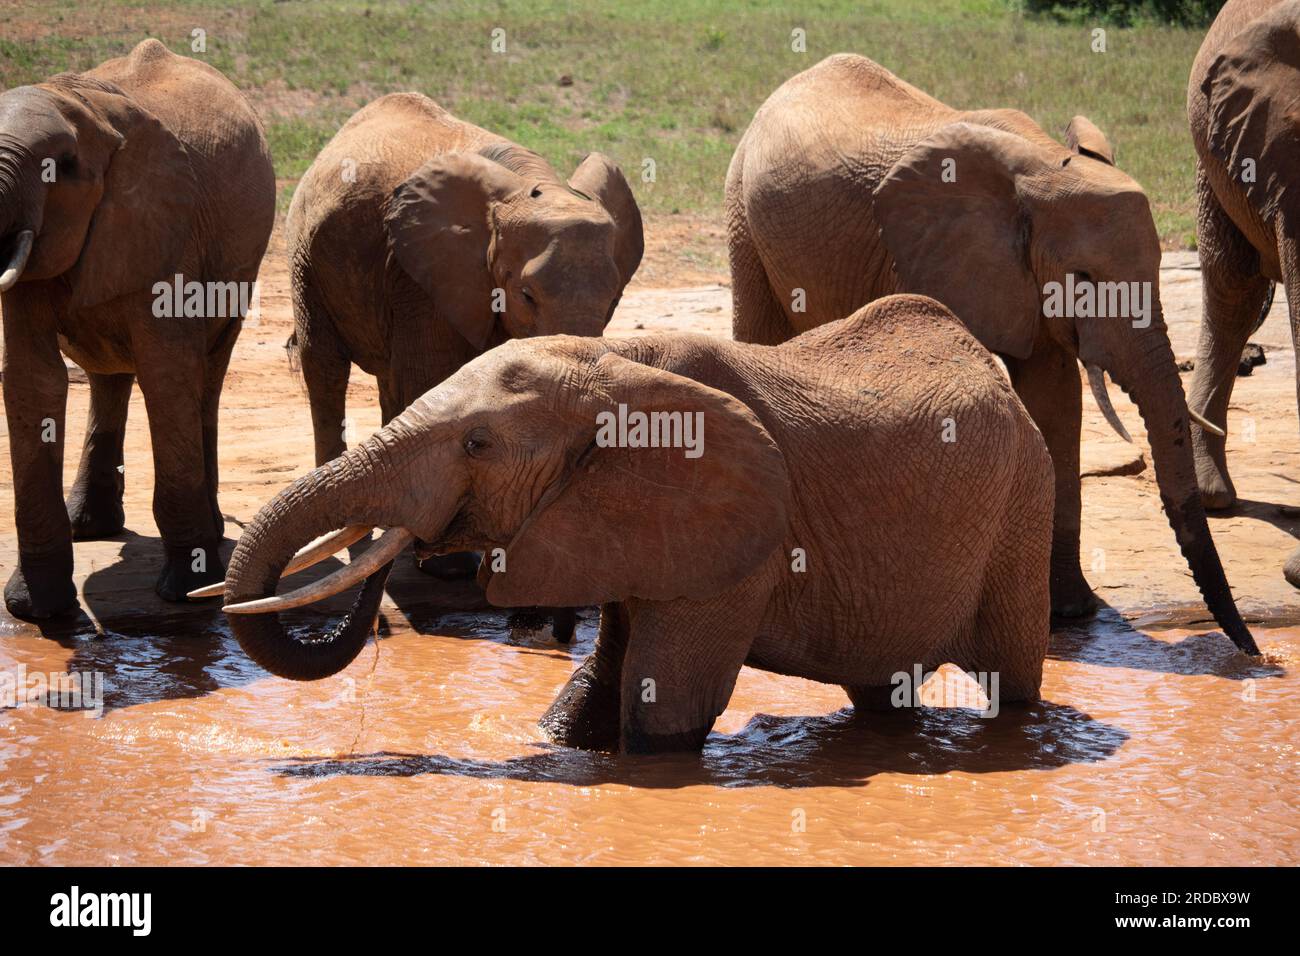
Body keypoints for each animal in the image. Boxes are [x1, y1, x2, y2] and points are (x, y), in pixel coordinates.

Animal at [0, 39, 275, 618]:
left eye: (62, 166)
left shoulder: (167, 228)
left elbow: (166, 374)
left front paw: (189, 592)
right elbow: (34, 380)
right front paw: (37, 611)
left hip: (240, 269)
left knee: (205, 375)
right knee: (109, 377)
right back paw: (89, 527)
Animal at [201, 294, 1055, 755]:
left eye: (478, 445)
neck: (611, 361)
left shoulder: (737, 547)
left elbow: (661, 713)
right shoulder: (626, 526)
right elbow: (596, 689)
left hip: (1024, 505)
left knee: (1012, 681)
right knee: (881, 689)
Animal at [726, 53, 1259, 655]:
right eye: (1083, 280)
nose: (1255, 656)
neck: (1043, 169)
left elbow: (1055, 399)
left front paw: (1070, 613)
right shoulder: (923, 256)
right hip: (741, 208)